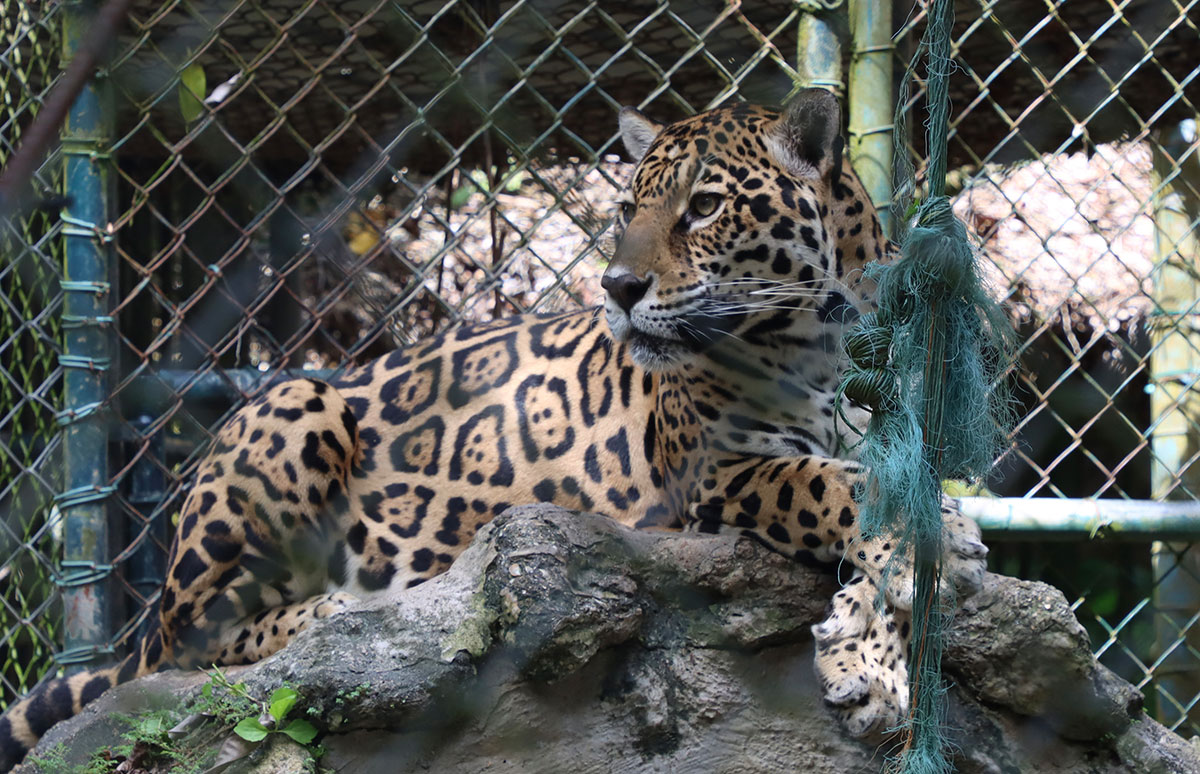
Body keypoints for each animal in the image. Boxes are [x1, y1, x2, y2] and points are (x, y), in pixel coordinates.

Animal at [0, 88, 988, 770]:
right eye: (628, 208)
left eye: (704, 207)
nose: (617, 287)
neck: (823, 343)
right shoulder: (719, 472)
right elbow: (836, 486)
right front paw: (937, 554)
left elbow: (880, 519)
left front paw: (872, 660)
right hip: (293, 408)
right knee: (187, 645)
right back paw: (343, 608)